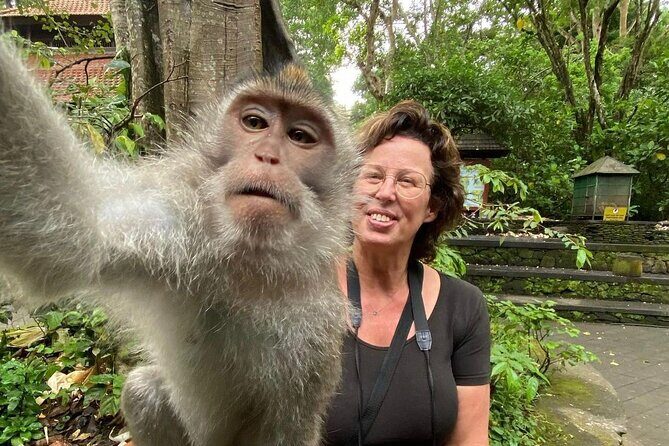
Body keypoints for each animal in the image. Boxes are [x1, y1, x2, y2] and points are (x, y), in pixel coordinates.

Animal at [0, 40, 359, 446]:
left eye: (300, 137)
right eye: (255, 123)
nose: (267, 156)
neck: (249, 264)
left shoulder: (316, 330)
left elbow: (288, 430)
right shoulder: (176, 228)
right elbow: (72, 231)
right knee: (143, 391)